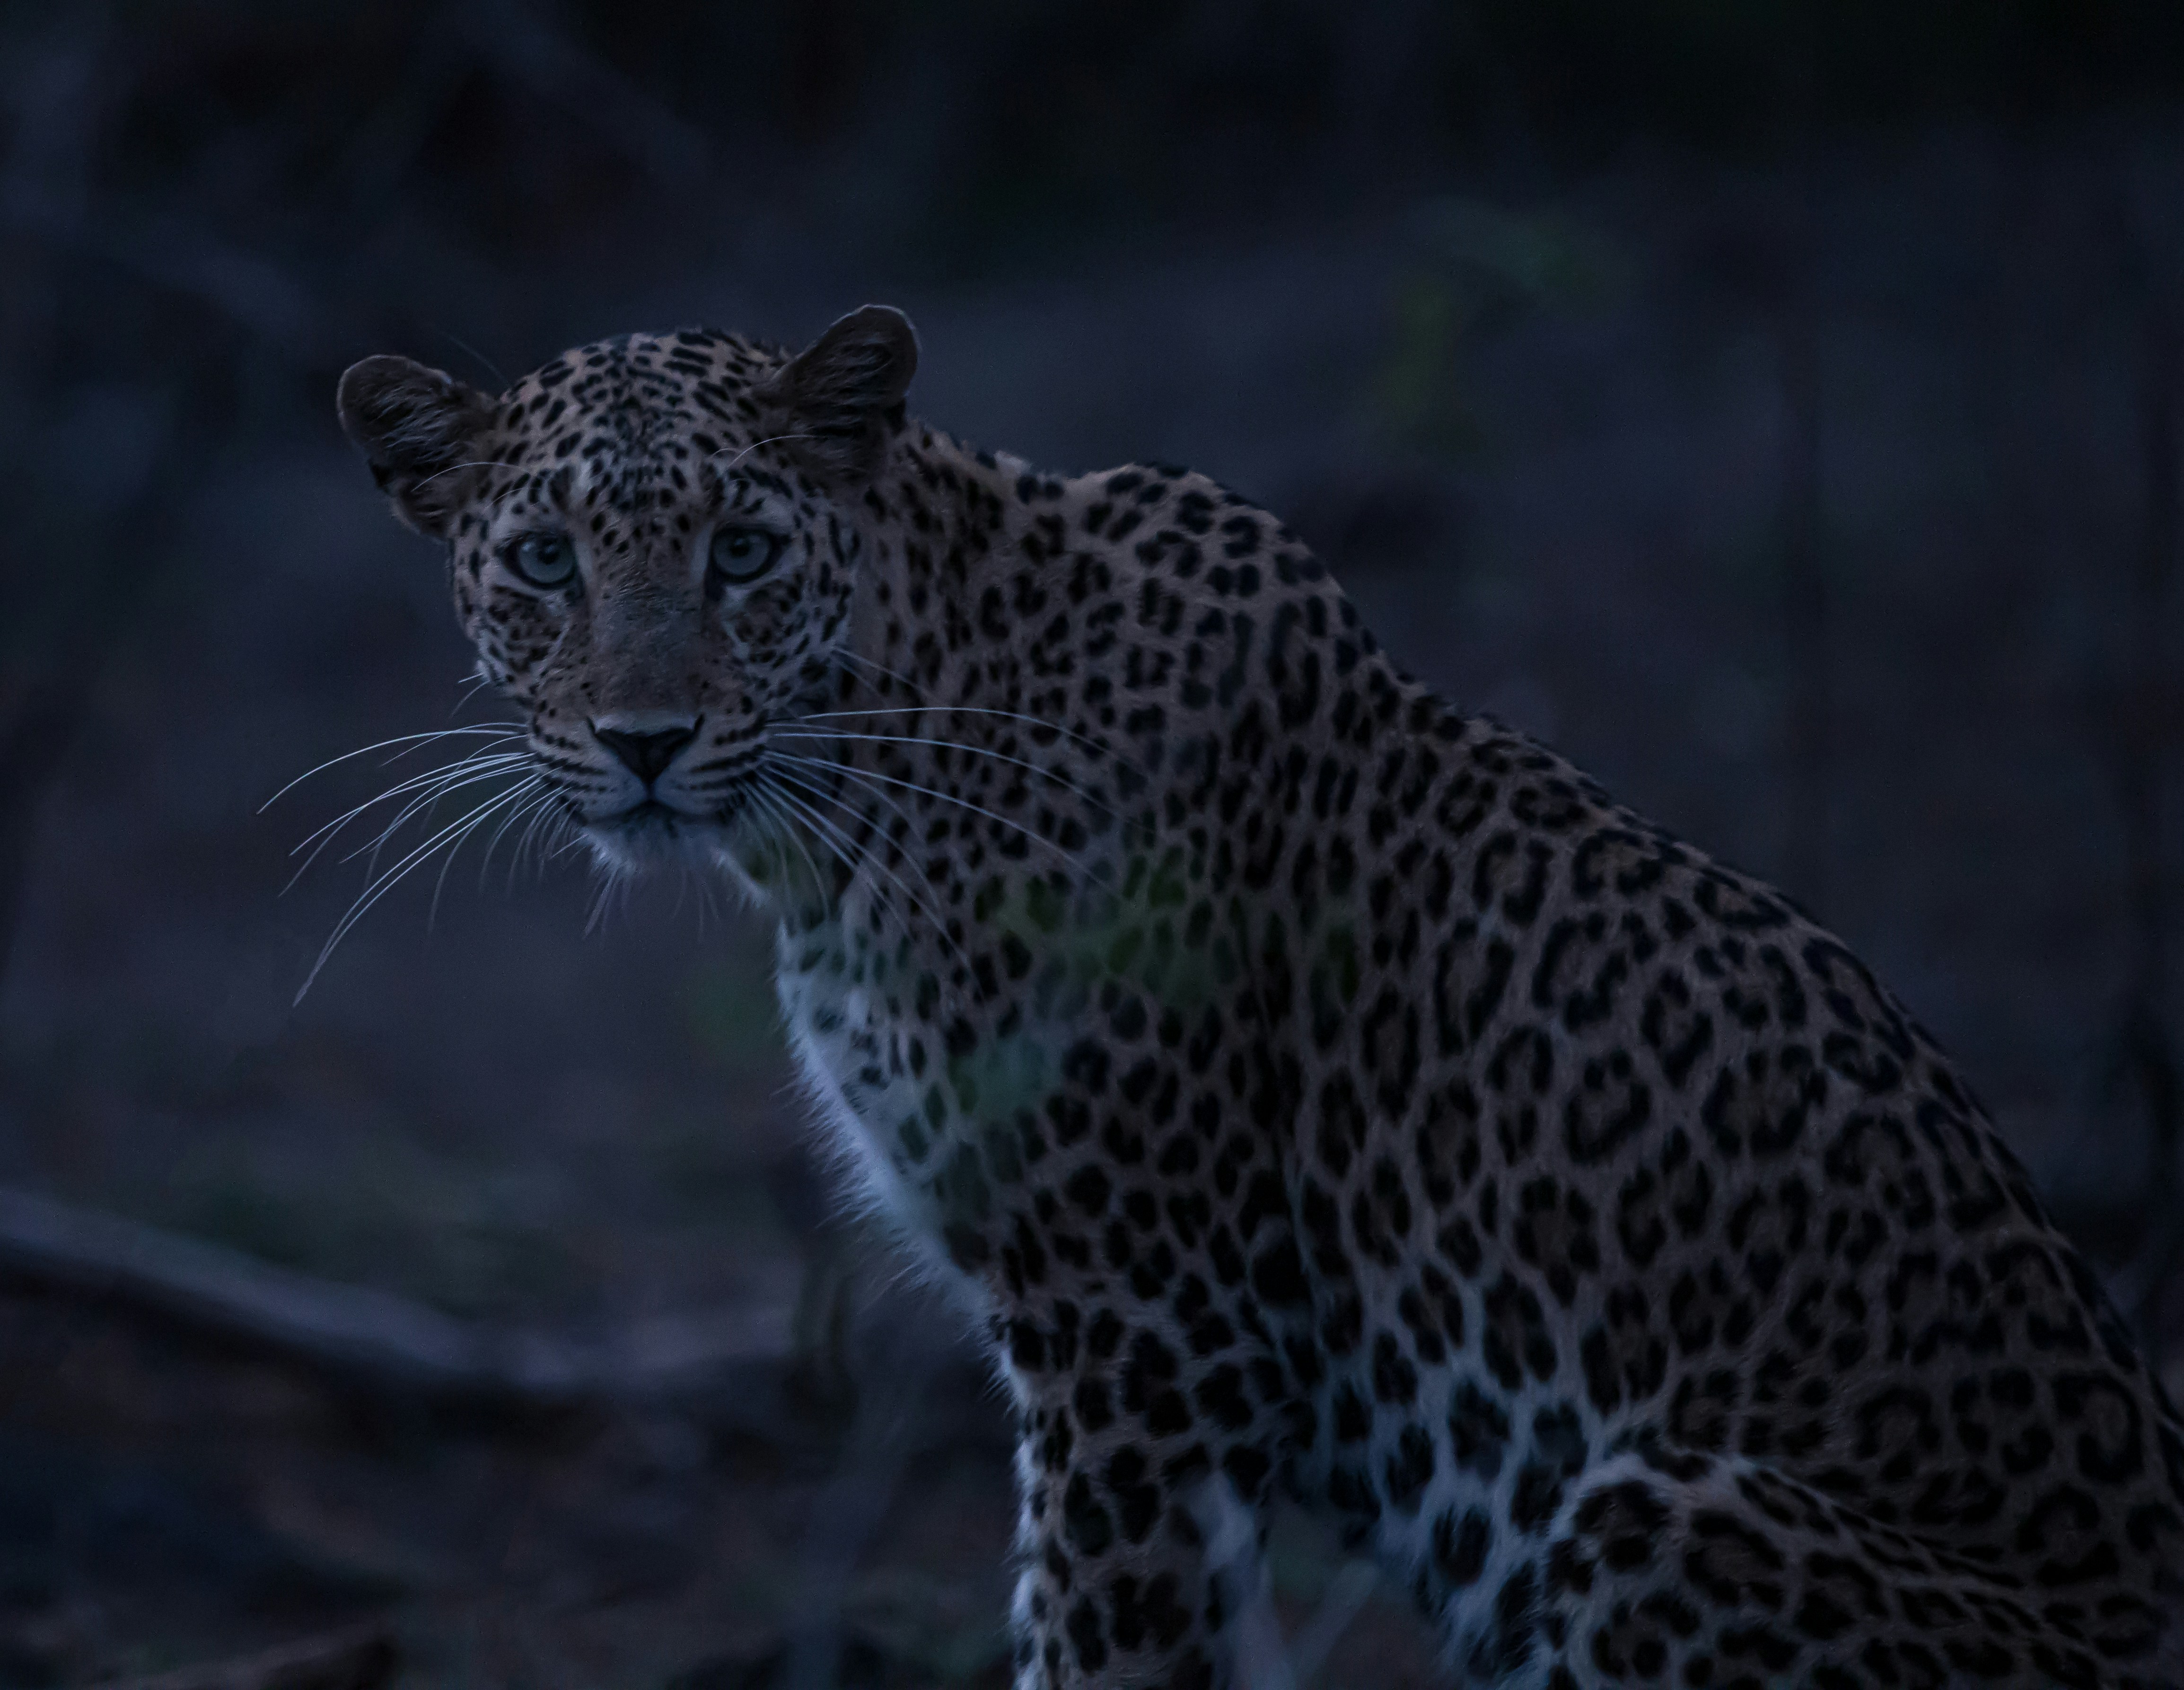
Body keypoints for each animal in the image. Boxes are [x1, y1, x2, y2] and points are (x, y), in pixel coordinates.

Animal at [333, 304, 2184, 1689]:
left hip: (1654, 1512)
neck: (849, 797)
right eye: (547, 561)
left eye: (741, 551)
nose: (645, 739)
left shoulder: (1151, 1322)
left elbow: (1096, 1642)